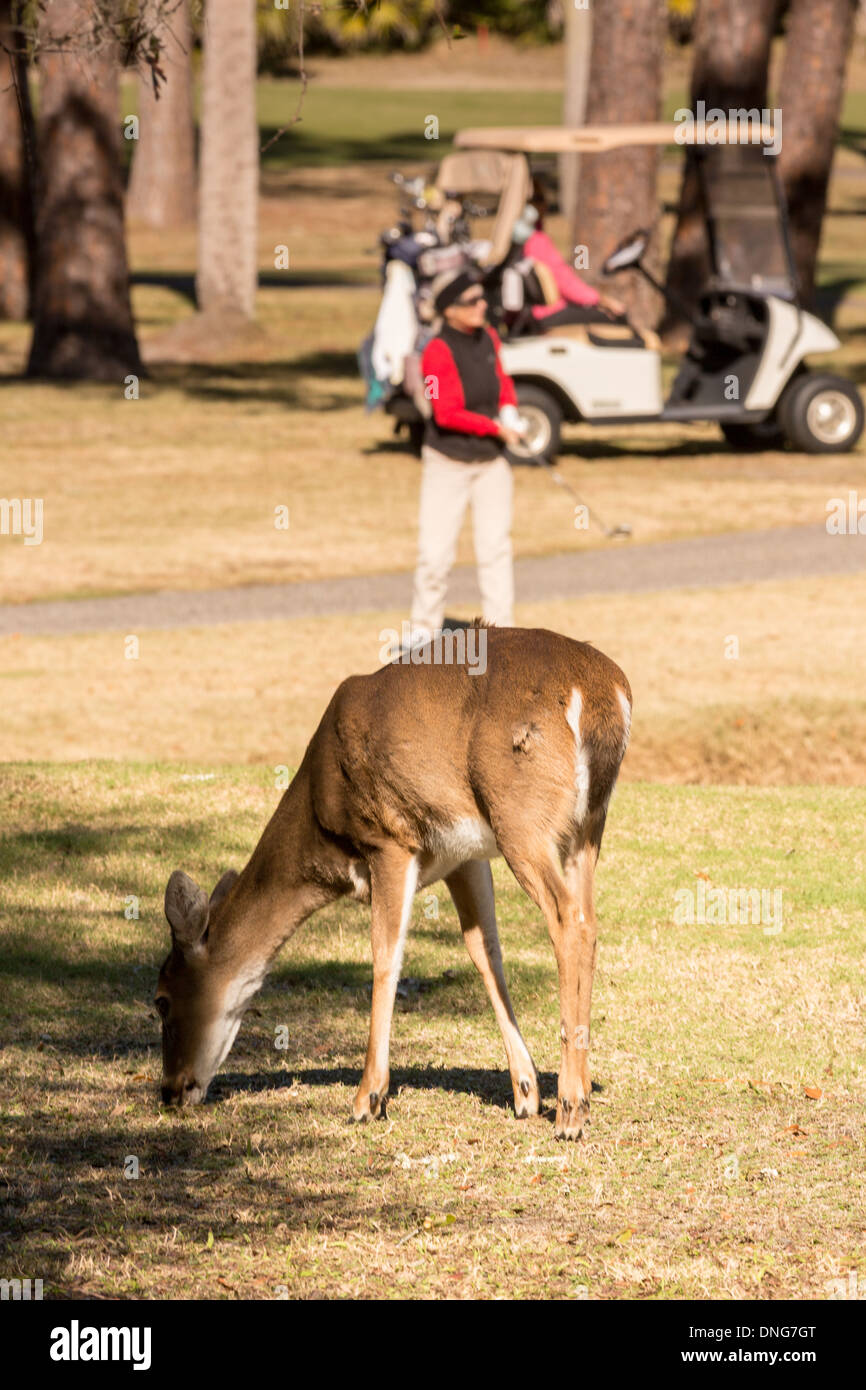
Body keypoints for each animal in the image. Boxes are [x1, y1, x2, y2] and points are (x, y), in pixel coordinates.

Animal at [155, 625, 632, 1141]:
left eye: (160, 1000)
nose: (170, 1090)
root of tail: (605, 692)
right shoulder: (463, 858)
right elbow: (484, 951)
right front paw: (525, 1092)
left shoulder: (388, 837)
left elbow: (386, 957)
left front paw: (367, 1098)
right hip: (585, 829)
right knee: (588, 918)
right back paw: (575, 1098)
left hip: (520, 816)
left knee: (569, 920)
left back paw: (571, 1111)